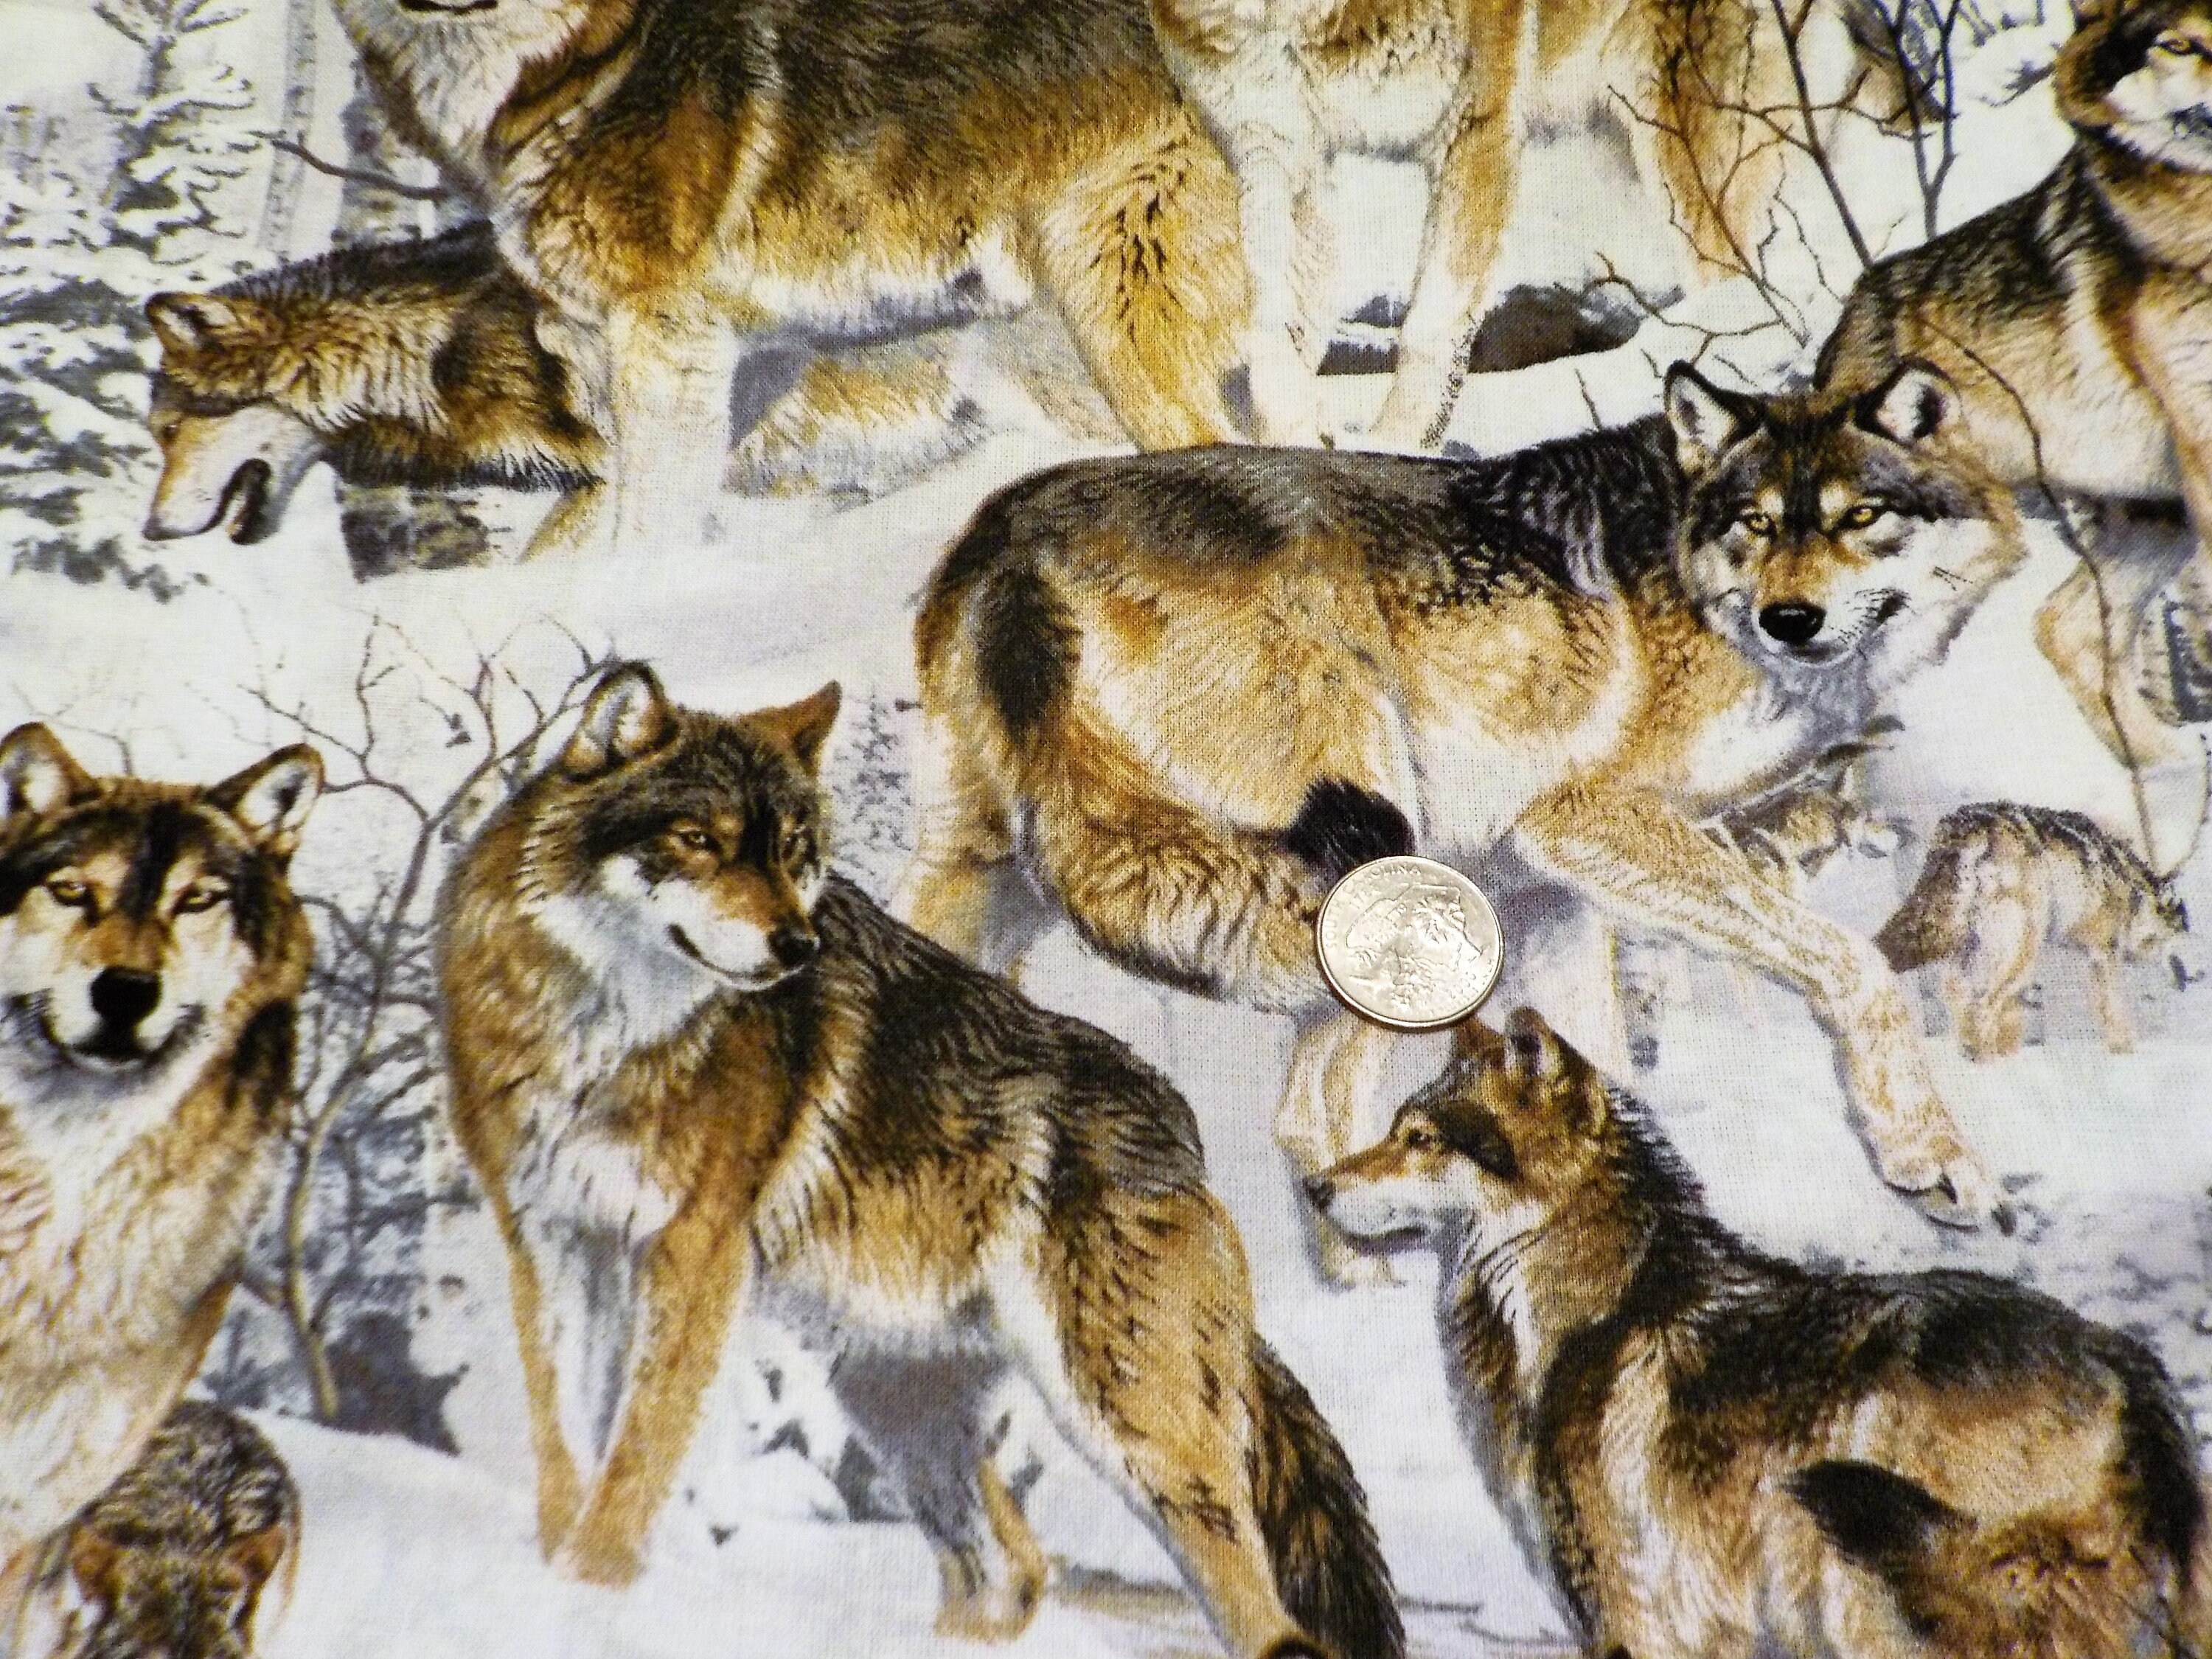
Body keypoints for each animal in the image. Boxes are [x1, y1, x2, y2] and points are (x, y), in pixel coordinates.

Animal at [435, 665, 1403, 1659]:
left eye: (792, 849)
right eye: (698, 840)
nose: (798, 945)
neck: (605, 1038)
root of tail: (1182, 1133)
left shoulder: (693, 1254)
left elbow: (636, 1451)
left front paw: (593, 1584)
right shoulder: (552, 1244)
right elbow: (566, 1444)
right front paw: (556, 1579)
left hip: (1130, 1429)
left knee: (1260, 1615)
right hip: (899, 1412)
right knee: (1015, 1569)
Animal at [907, 358, 2026, 1276]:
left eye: (1860, 517)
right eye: (1753, 522)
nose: (1791, 618)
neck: (1687, 579)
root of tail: (1012, 541)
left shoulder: (1544, 890)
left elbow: (1598, 1064)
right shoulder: (1581, 821)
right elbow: (1854, 964)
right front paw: (1932, 1160)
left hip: (994, 890)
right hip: (1367, 869)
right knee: (1309, 1113)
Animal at [1308, 1006, 2211, 1659]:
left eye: (1420, 1140)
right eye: (1395, 1129)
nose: (1313, 1188)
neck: (1593, 1311)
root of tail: (2127, 1364)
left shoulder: (1633, 1615)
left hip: (1873, 1604)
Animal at [1874, 801, 2189, 1058]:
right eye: (2178, 939)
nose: (2183, 973)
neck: (2133, 889)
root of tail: (1969, 827)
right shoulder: (2103, 953)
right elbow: (2111, 1008)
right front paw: (2124, 1050)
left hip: (1970, 944)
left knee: (1956, 990)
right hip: (2022, 947)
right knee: (1985, 1003)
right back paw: (1987, 1062)